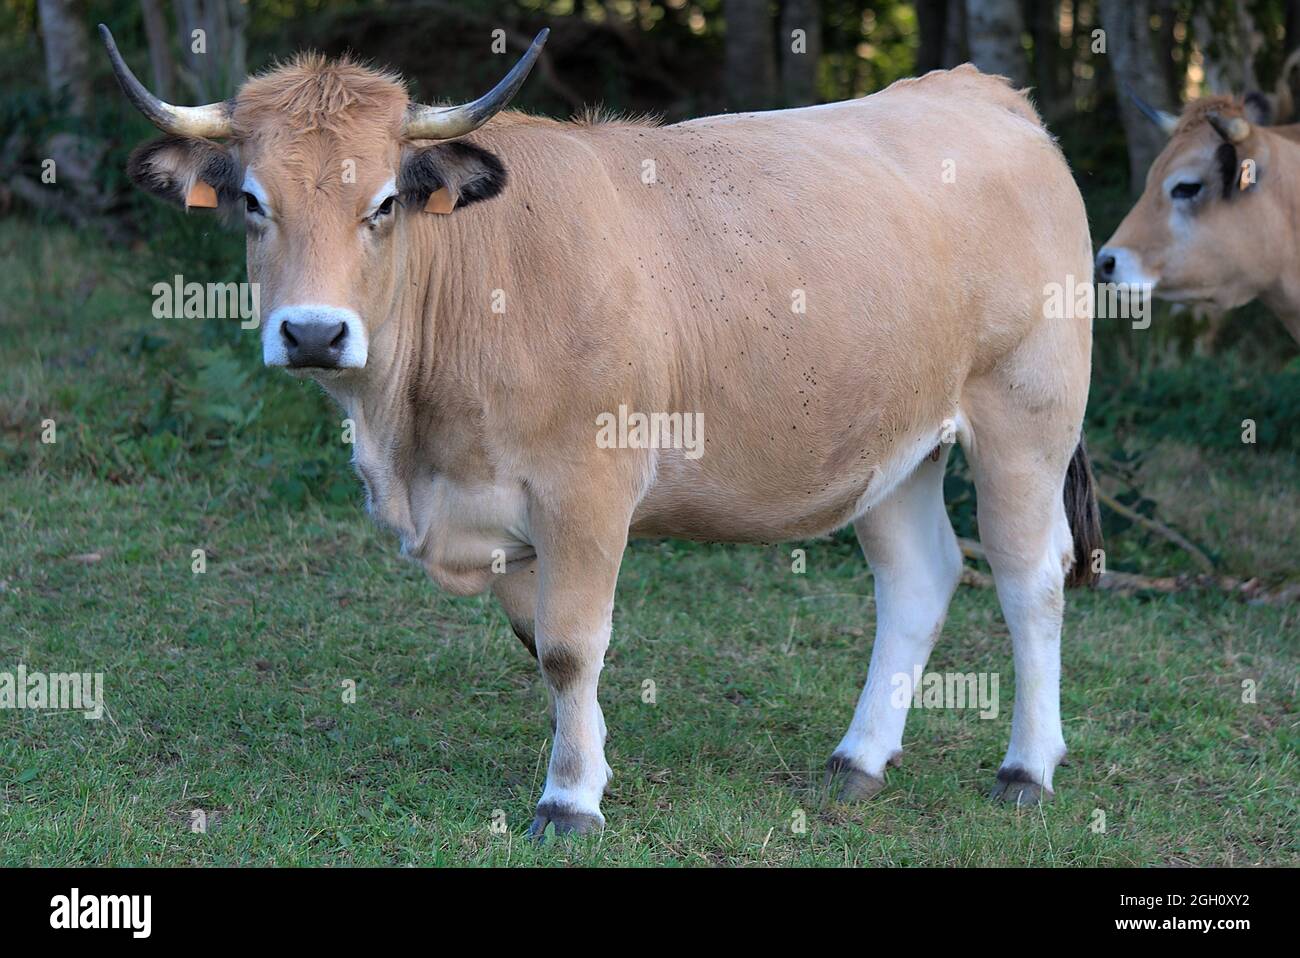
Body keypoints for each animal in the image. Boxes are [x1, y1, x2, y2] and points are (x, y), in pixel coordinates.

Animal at [102, 23, 1100, 836]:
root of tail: (978, 91)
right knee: (919, 576)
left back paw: (1027, 769)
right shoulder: (502, 520)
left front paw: (571, 798)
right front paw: (592, 763)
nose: (312, 332)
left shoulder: (586, 489)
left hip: (1025, 417)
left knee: (1029, 578)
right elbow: (539, 644)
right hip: (892, 445)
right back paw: (857, 761)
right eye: (253, 201)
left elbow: (571, 646)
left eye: (383, 203)